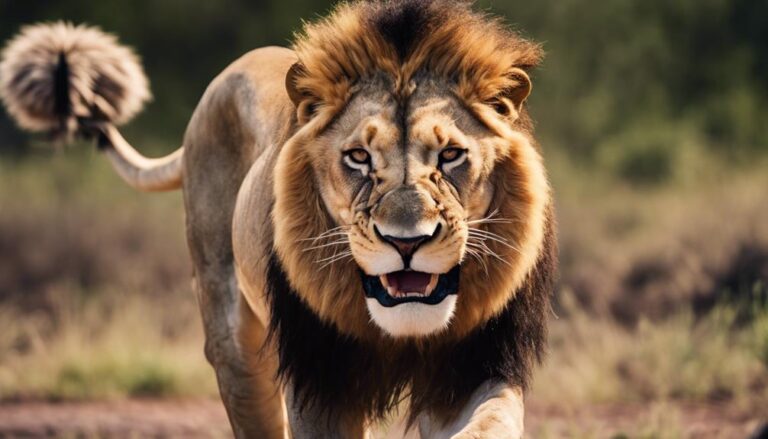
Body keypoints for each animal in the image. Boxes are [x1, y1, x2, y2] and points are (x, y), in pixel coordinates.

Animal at [0, 1, 557, 437]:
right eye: (358, 158)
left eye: (451, 156)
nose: (406, 242)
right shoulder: (318, 380)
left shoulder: (476, 367)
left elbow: (486, 426)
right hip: (235, 345)